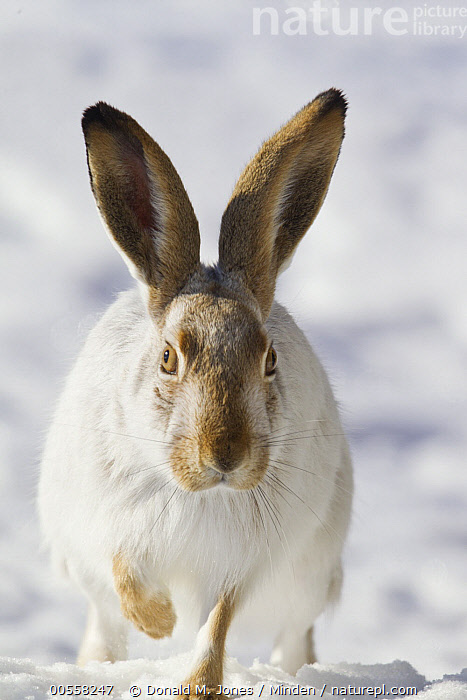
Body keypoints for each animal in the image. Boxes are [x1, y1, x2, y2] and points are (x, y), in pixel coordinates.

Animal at [38, 88, 353, 696]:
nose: (225, 455)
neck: (197, 492)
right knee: (104, 624)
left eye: (269, 360)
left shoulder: (242, 565)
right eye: (168, 358)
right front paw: (160, 624)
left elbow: (216, 625)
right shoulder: (111, 524)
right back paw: (94, 672)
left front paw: (196, 684)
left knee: (293, 638)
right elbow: (125, 574)